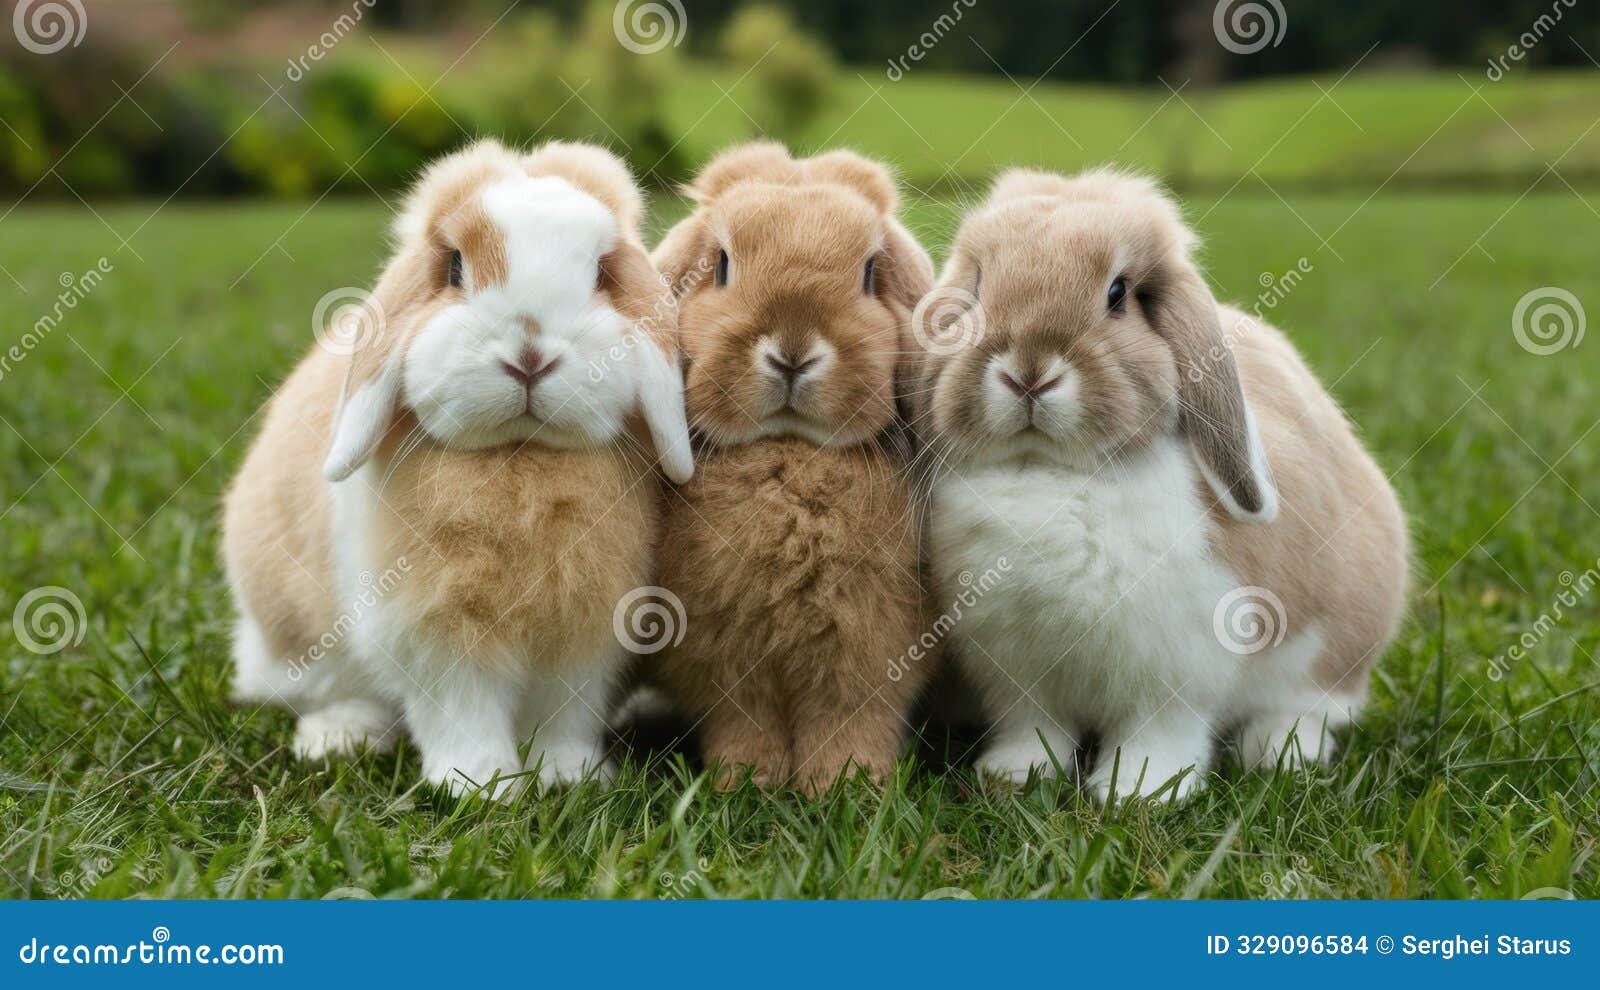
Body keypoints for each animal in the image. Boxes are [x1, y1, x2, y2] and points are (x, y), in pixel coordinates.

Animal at [221, 138, 692, 798]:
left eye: (601, 273)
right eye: (454, 268)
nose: (529, 356)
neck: (521, 460)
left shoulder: (586, 637)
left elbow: (563, 717)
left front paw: (569, 779)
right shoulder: (434, 635)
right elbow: (462, 715)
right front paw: (482, 788)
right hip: (296, 641)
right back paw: (338, 738)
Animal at [646, 142, 936, 793]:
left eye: (870, 272)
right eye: (721, 265)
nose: (793, 351)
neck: (789, 454)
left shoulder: (870, 650)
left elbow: (849, 721)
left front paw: (845, 787)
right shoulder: (725, 658)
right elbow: (745, 721)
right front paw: (746, 782)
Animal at [910, 167, 1408, 802]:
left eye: (1118, 294)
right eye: (975, 286)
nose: (1028, 372)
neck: (1052, 473)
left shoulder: (1175, 673)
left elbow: (1158, 733)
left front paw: (1136, 792)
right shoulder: (1017, 673)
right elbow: (1033, 726)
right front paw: (1012, 775)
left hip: (1332, 650)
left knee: (1317, 708)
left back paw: (1277, 752)